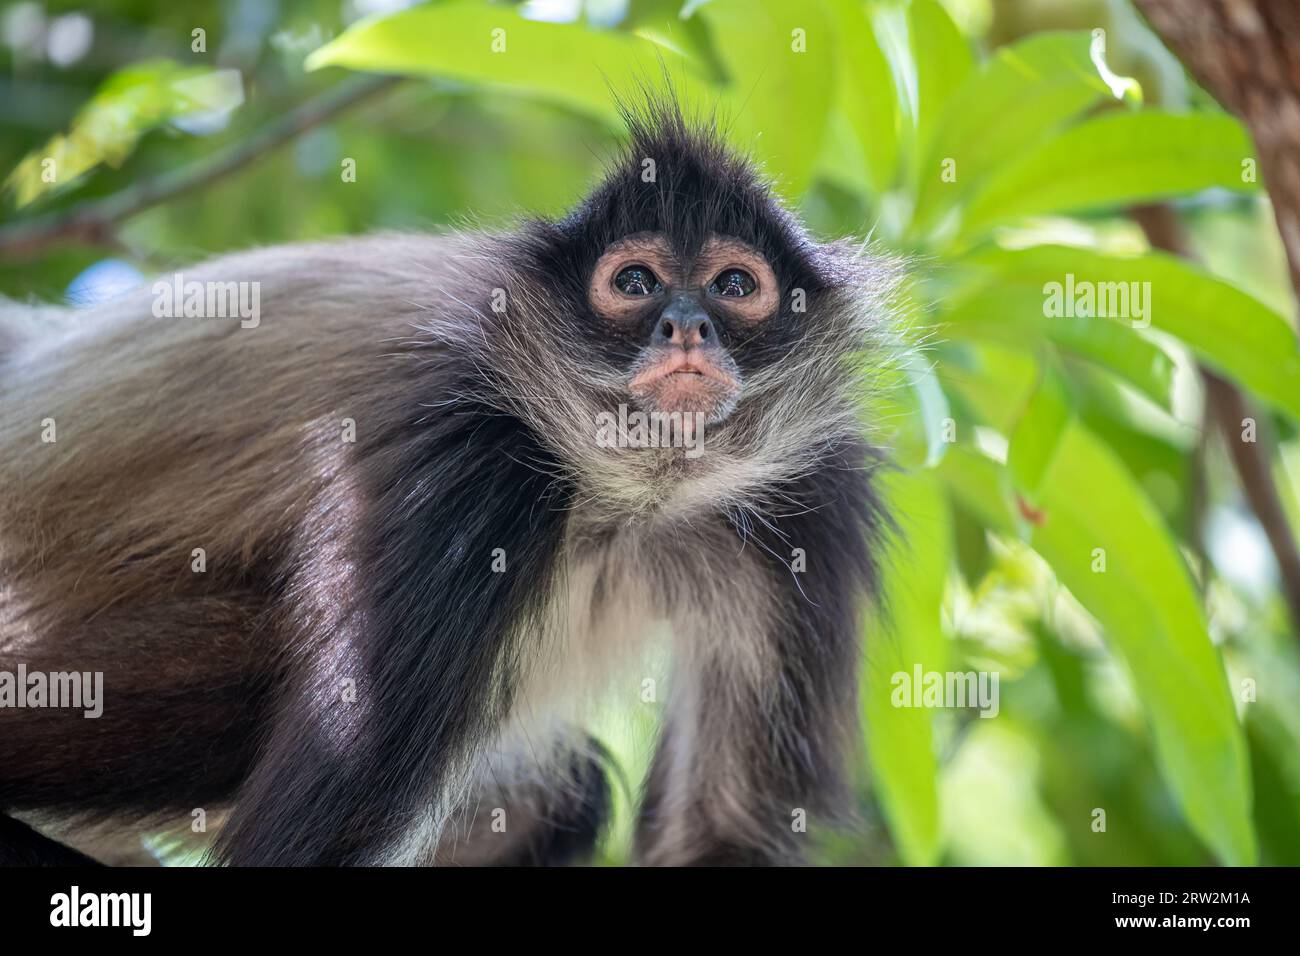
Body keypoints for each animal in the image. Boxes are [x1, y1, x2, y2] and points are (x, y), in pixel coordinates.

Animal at [0, 96, 895, 867]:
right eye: (635, 282)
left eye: (735, 286)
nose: (687, 325)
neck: (627, 501)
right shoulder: (478, 469)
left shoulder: (810, 502)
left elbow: (719, 833)